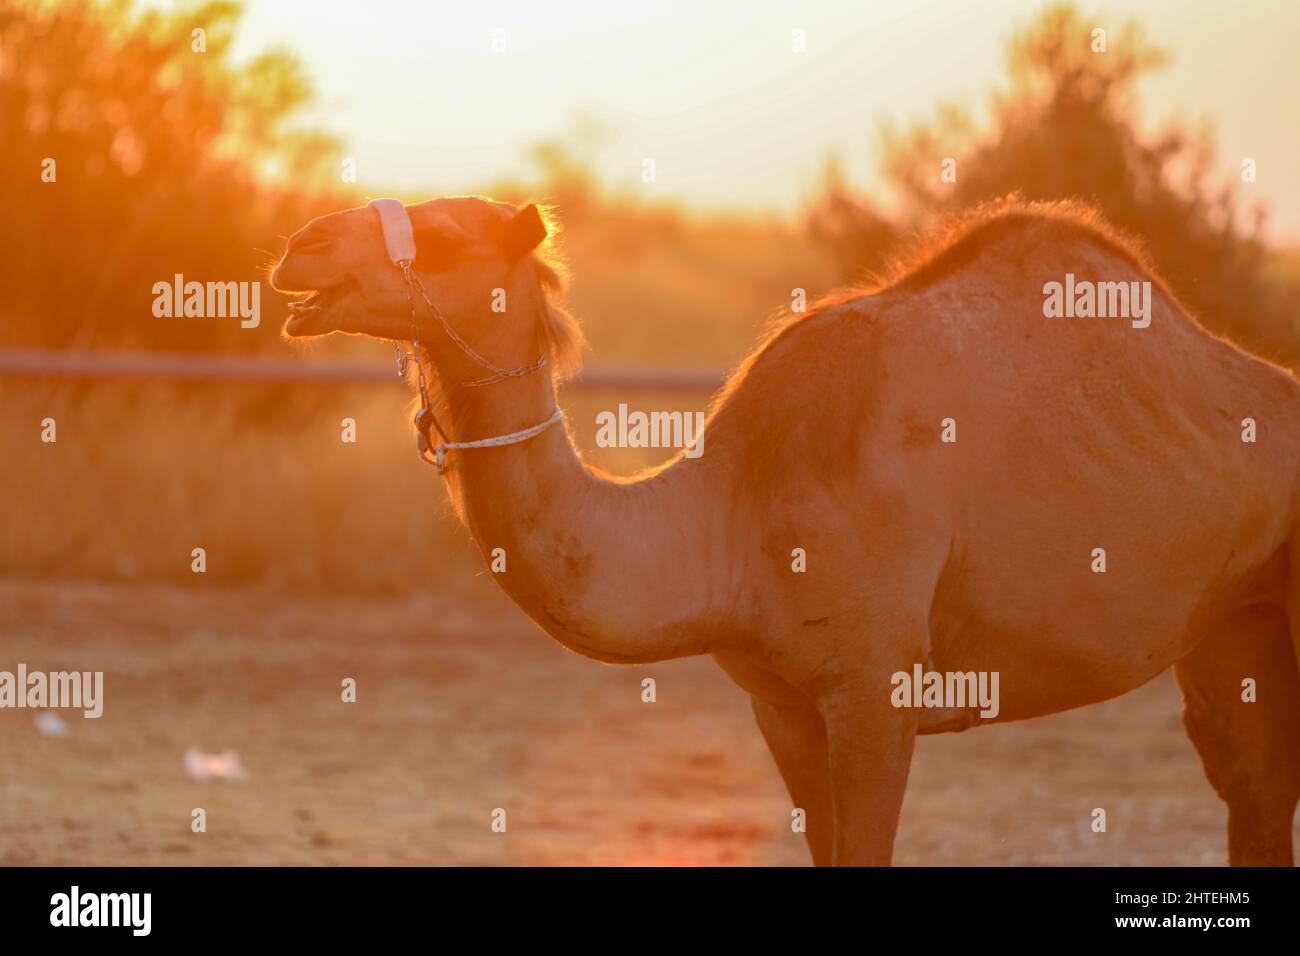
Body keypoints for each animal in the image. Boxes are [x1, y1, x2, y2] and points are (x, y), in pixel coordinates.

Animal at [271, 195, 1300, 866]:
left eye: (446, 236)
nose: (300, 245)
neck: (733, 512)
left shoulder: (878, 690)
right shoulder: (781, 704)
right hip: (1228, 627)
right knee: (1255, 794)